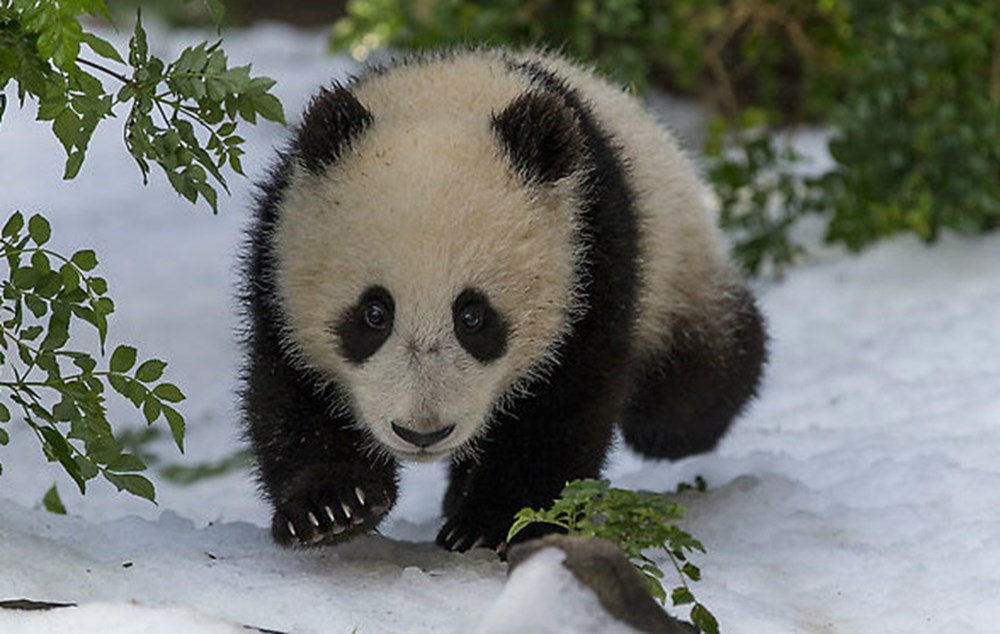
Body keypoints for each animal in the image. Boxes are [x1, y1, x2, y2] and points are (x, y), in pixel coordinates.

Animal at [241, 49, 766, 553]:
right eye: (374, 313)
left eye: (473, 317)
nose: (422, 432)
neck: (446, 89)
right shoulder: (277, 261)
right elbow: (291, 395)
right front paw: (332, 509)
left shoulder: (590, 258)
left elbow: (559, 408)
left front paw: (496, 523)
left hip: (676, 264)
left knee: (687, 391)